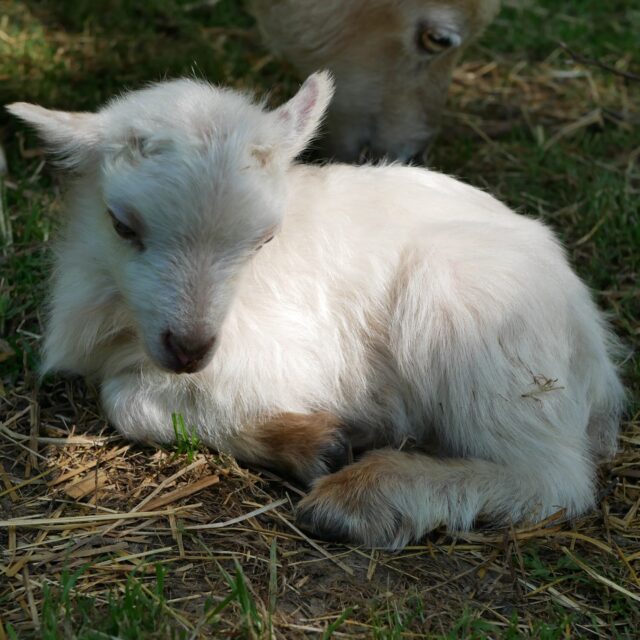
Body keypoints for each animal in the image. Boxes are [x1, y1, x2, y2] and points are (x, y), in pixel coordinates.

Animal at [8, 72, 624, 549]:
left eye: (263, 239)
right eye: (122, 225)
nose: (189, 349)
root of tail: (595, 354)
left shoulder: (292, 360)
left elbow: (126, 399)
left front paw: (317, 442)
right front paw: (309, 443)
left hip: (475, 322)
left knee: (554, 478)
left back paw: (368, 496)